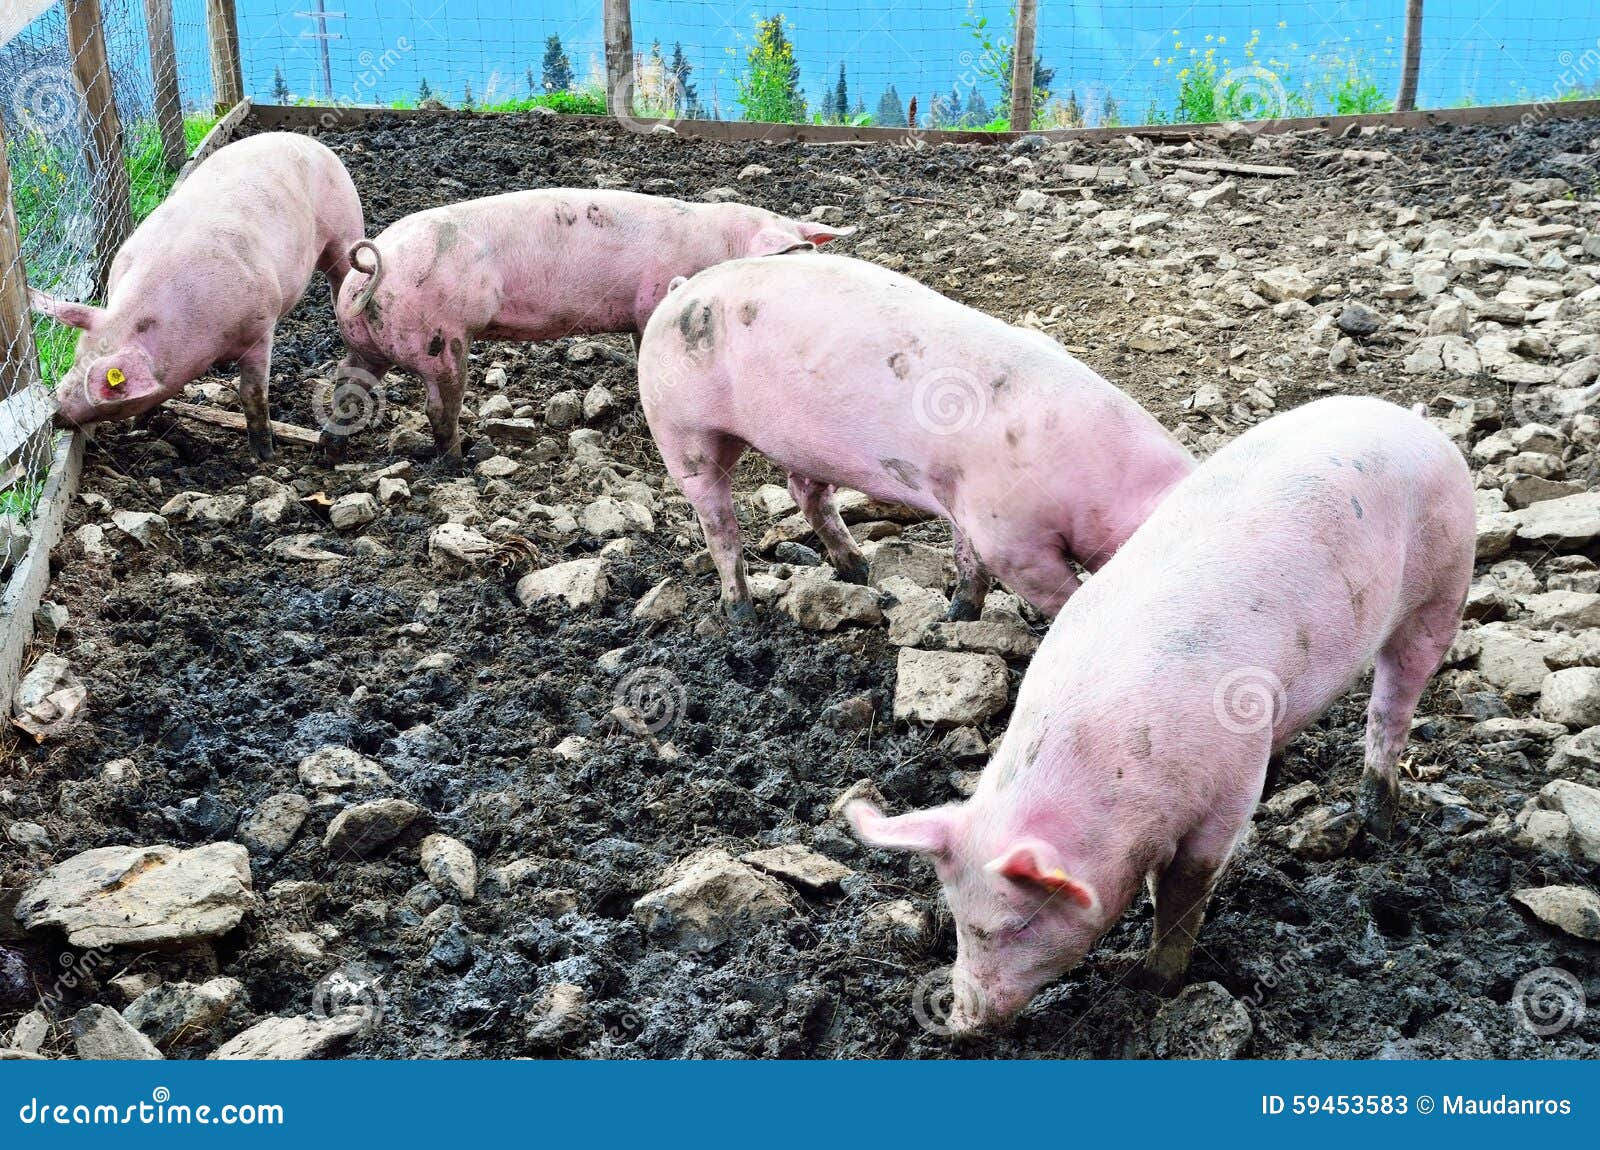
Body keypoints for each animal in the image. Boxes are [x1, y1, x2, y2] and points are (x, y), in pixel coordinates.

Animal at [31, 132, 364, 461]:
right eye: (76, 358)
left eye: (110, 386)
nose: (54, 412)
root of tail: (304, 139)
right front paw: (140, 426)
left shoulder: (261, 326)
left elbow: (252, 393)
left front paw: (265, 457)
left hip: (346, 228)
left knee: (341, 278)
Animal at [326, 190, 852, 463]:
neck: (722, 244)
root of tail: (374, 267)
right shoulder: (652, 297)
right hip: (443, 337)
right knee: (438, 407)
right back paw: (461, 460)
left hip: (364, 343)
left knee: (345, 390)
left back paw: (331, 453)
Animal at [636, 253, 1196, 622]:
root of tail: (679, 290)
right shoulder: (1010, 535)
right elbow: (1046, 586)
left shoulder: (967, 505)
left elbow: (968, 562)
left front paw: (957, 617)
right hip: (679, 427)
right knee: (717, 519)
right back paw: (742, 615)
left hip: (804, 445)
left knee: (806, 492)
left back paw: (859, 571)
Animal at [847, 396, 1475, 1032]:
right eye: (956, 920)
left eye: (1018, 924)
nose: (958, 1023)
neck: (1121, 784)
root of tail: (1409, 418)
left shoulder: (1228, 789)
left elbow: (1184, 889)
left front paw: (1154, 988)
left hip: (1446, 579)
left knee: (1393, 704)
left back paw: (1376, 825)